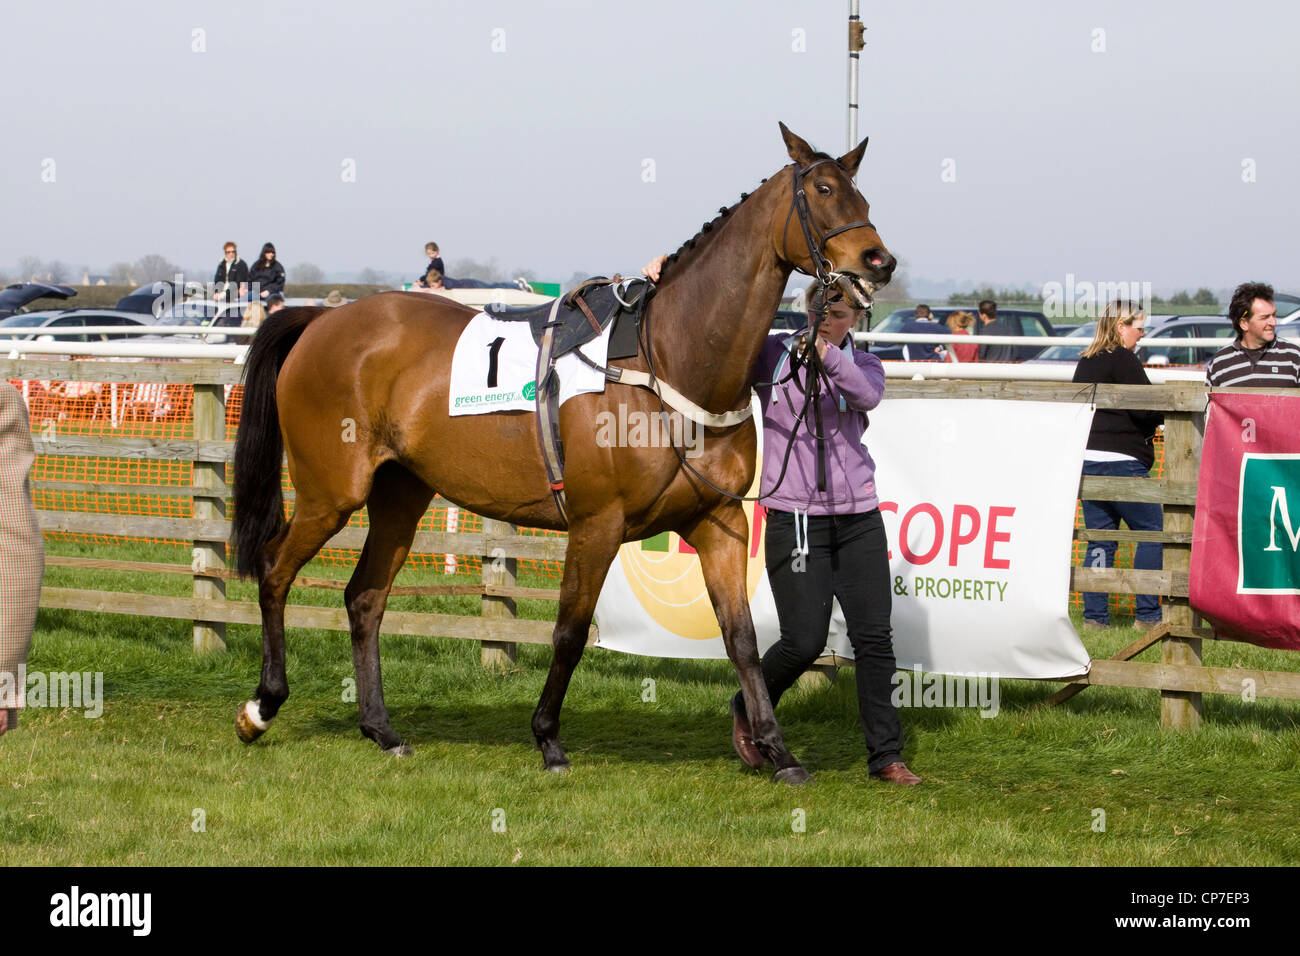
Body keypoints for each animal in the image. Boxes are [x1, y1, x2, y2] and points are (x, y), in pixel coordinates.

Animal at [230, 122, 896, 784]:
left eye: (863, 194)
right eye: (825, 190)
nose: (879, 261)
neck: (667, 359)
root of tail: (321, 322)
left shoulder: (719, 521)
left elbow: (742, 639)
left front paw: (777, 750)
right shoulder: (597, 523)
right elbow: (571, 632)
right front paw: (548, 738)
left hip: (400, 494)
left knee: (364, 598)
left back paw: (380, 728)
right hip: (330, 492)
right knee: (274, 568)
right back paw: (261, 706)